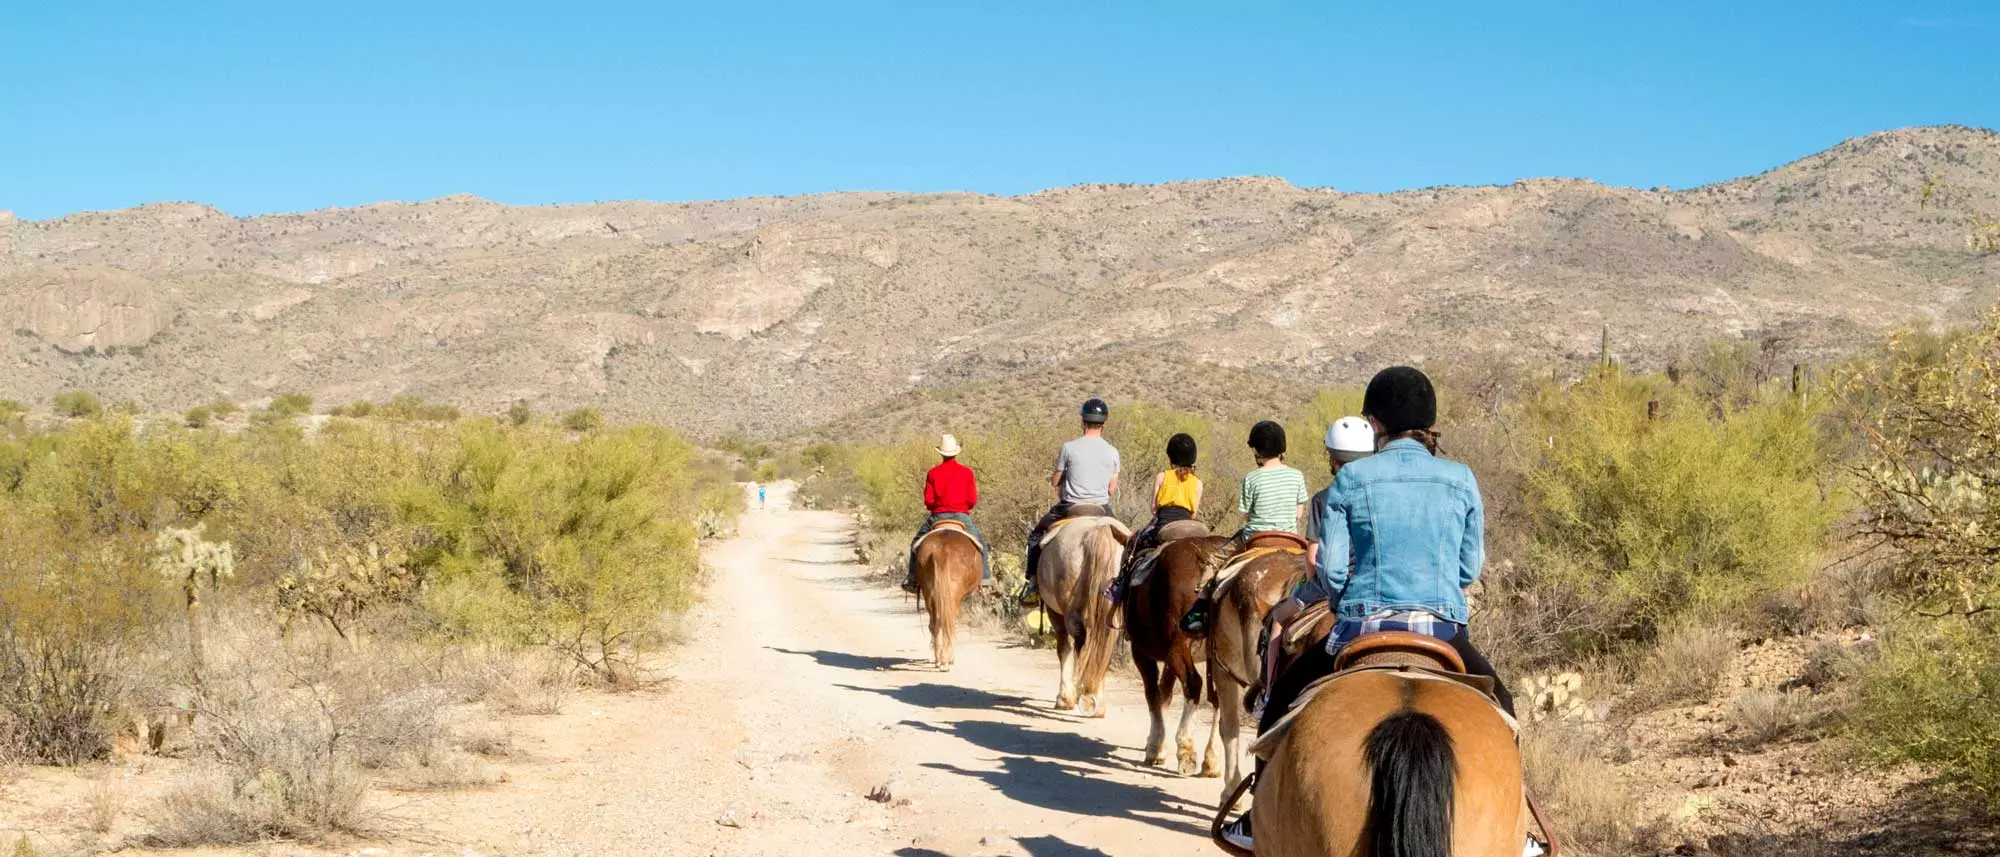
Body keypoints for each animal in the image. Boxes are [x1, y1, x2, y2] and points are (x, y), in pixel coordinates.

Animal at [912, 520, 980, 672]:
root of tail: (941, 551)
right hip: (954, 592)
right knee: (950, 622)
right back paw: (946, 661)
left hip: (928, 591)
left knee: (935, 622)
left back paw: (939, 660)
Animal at [1040, 516, 1136, 716]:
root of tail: (1099, 530)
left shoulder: (1056, 615)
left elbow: (1064, 648)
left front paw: (1064, 699)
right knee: (1103, 648)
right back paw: (1097, 701)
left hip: (1070, 613)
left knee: (1078, 643)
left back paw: (1083, 696)